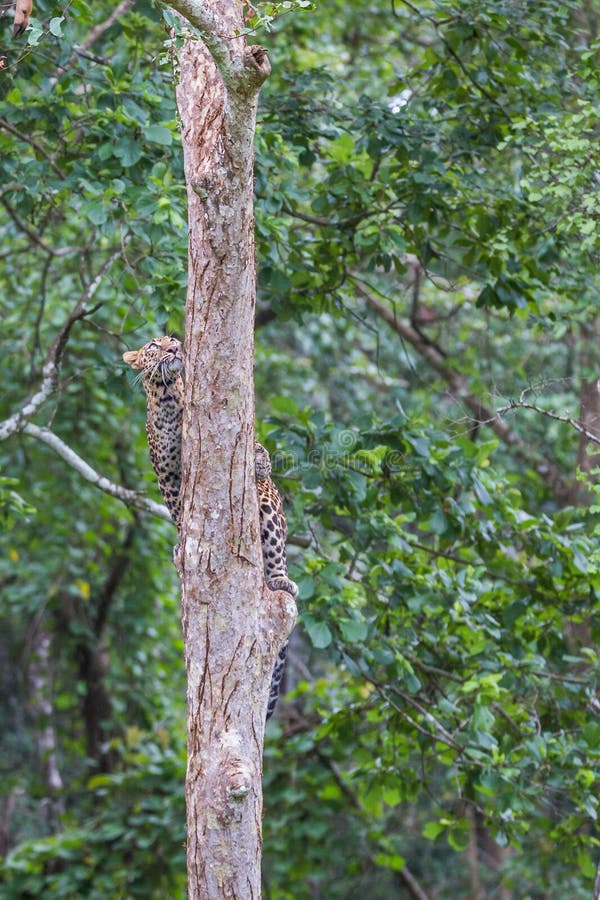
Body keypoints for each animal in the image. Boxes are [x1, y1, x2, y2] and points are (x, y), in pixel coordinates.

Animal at [123, 335, 297, 719]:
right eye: (154, 345)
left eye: (172, 337)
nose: (174, 347)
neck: (167, 397)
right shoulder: (167, 476)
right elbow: (177, 510)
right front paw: (179, 540)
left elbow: (257, 446)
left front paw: (260, 460)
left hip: (269, 509)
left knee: (277, 553)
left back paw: (280, 580)